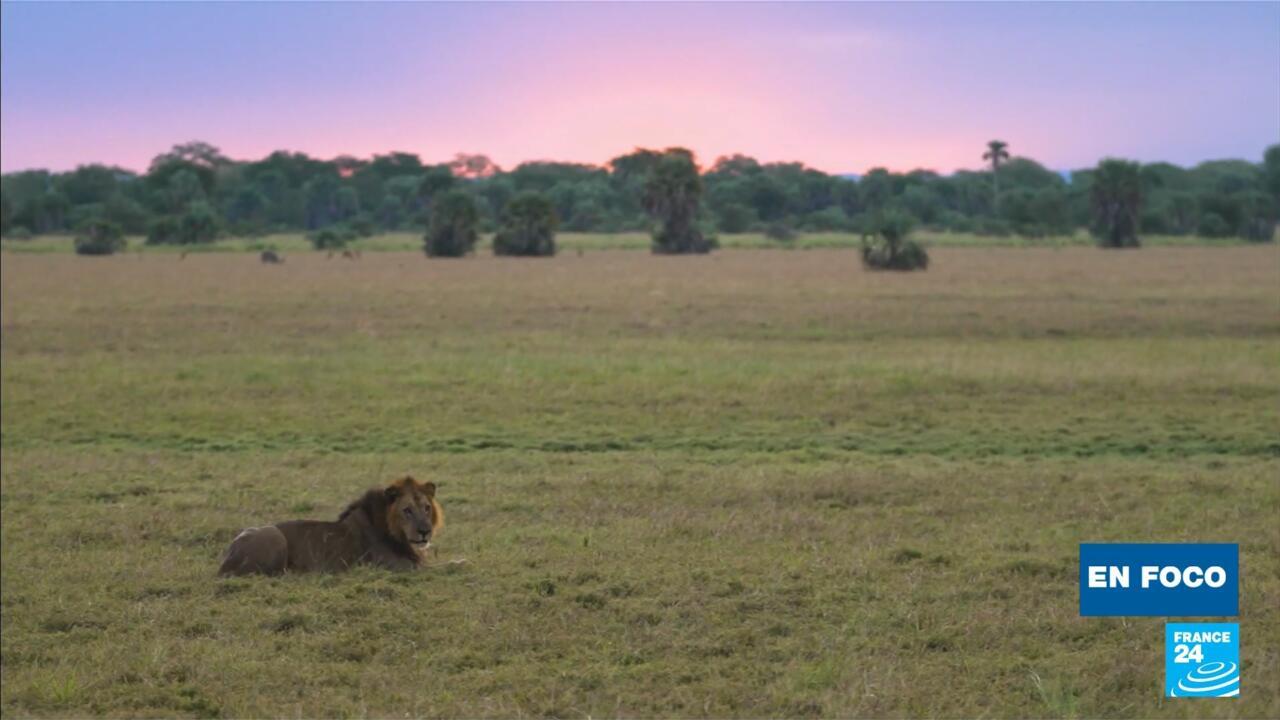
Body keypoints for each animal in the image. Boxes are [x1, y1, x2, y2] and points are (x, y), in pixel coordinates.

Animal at [218, 476, 444, 576]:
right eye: (407, 510)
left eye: (426, 508)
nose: (425, 532)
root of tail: (228, 557)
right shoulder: (396, 566)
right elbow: (445, 566)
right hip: (274, 535)